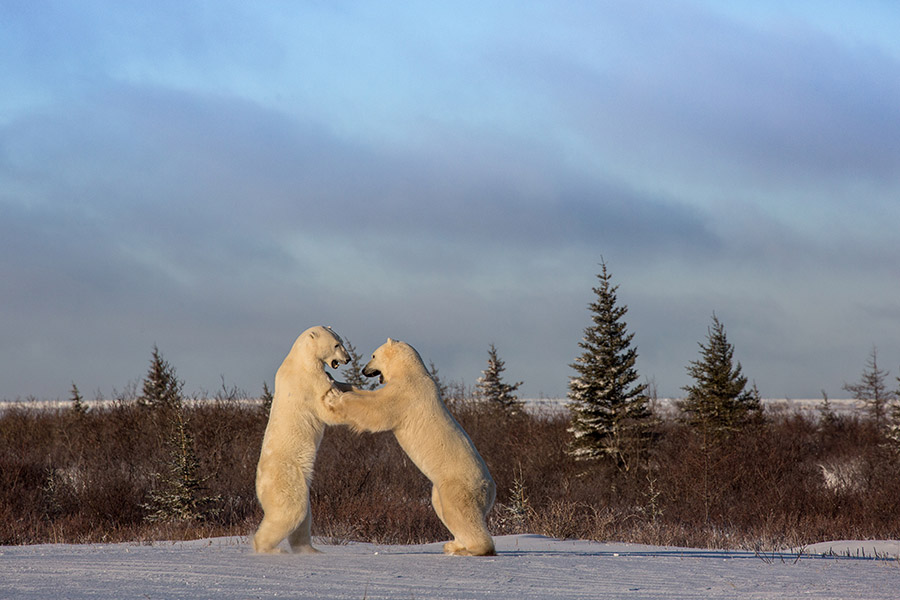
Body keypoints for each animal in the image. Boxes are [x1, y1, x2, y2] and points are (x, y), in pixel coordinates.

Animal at [252, 325, 351, 554]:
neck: (300, 361)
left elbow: (337, 383)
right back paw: (270, 549)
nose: (348, 358)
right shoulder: (309, 382)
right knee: (290, 512)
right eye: (336, 344)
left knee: (304, 517)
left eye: (341, 341)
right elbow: (327, 407)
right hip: (288, 477)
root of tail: (260, 485)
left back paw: (311, 550)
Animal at [323, 338, 496, 556]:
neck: (411, 371)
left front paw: (334, 397)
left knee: (460, 514)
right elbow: (366, 394)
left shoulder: (405, 394)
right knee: (442, 509)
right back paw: (453, 544)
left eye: (373, 355)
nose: (364, 370)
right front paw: (334, 380)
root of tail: (490, 490)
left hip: (458, 487)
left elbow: (375, 409)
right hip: (441, 489)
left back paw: (471, 549)